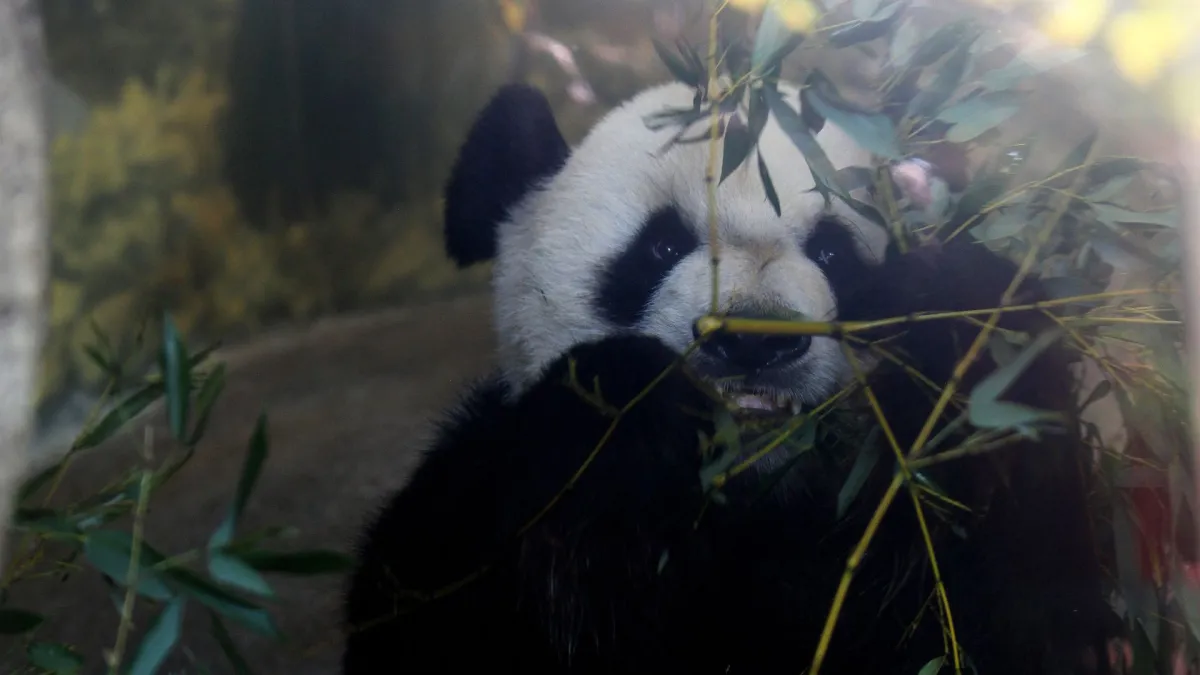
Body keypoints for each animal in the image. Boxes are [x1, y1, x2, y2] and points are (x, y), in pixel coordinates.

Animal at [341, 80, 1123, 674]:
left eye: (834, 253)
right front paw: (621, 402)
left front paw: (958, 322)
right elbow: (445, 610)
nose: (753, 342)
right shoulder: (473, 492)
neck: (753, 501)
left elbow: (1030, 607)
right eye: (661, 245)